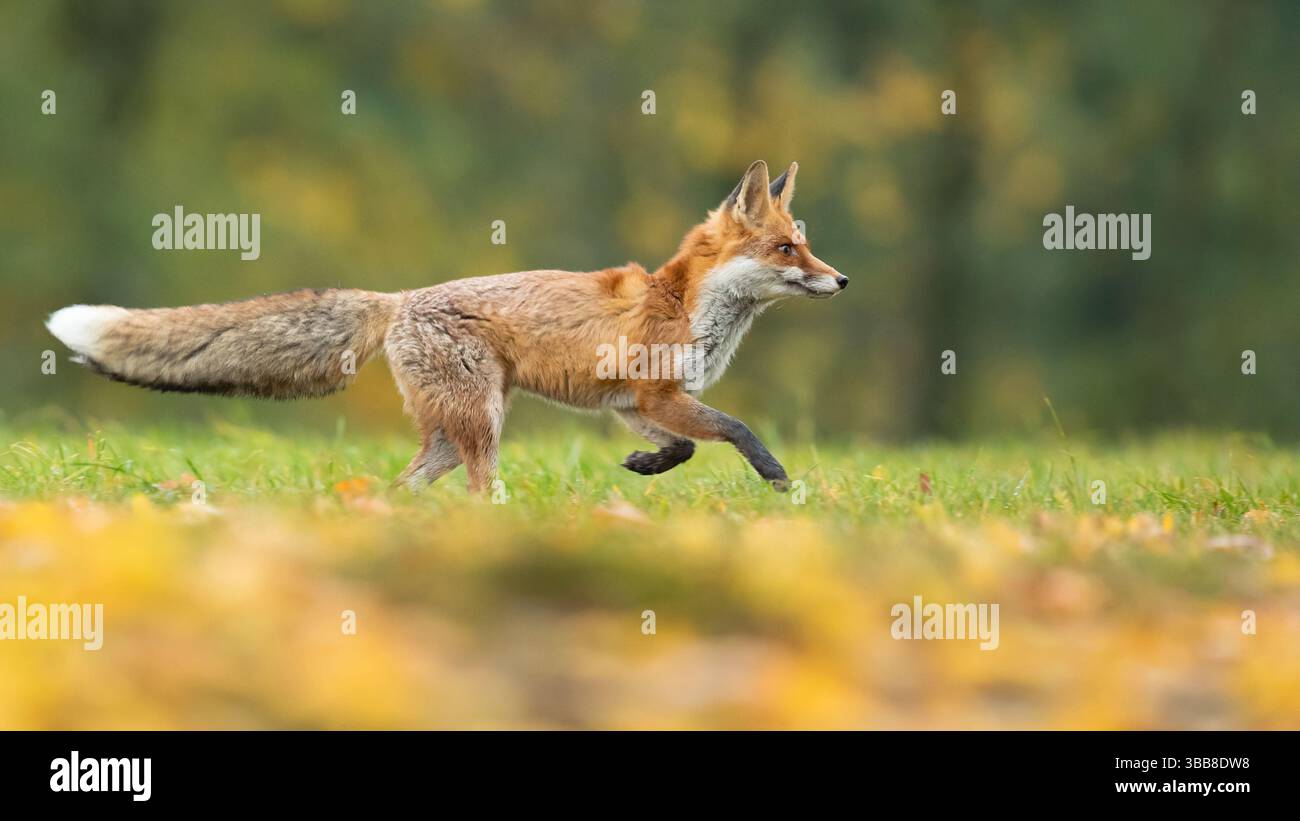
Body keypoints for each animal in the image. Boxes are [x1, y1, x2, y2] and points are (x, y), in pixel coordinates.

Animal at [45, 160, 847, 494]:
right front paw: (776, 477)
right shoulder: (656, 395)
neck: (689, 306)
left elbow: (682, 446)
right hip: (482, 420)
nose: (841, 281)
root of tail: (399, 298)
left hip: (453, 429)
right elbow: (737, 428)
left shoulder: (636, 404)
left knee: (407, 484)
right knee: (476, 487)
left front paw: (646, 467)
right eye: (787, 249)